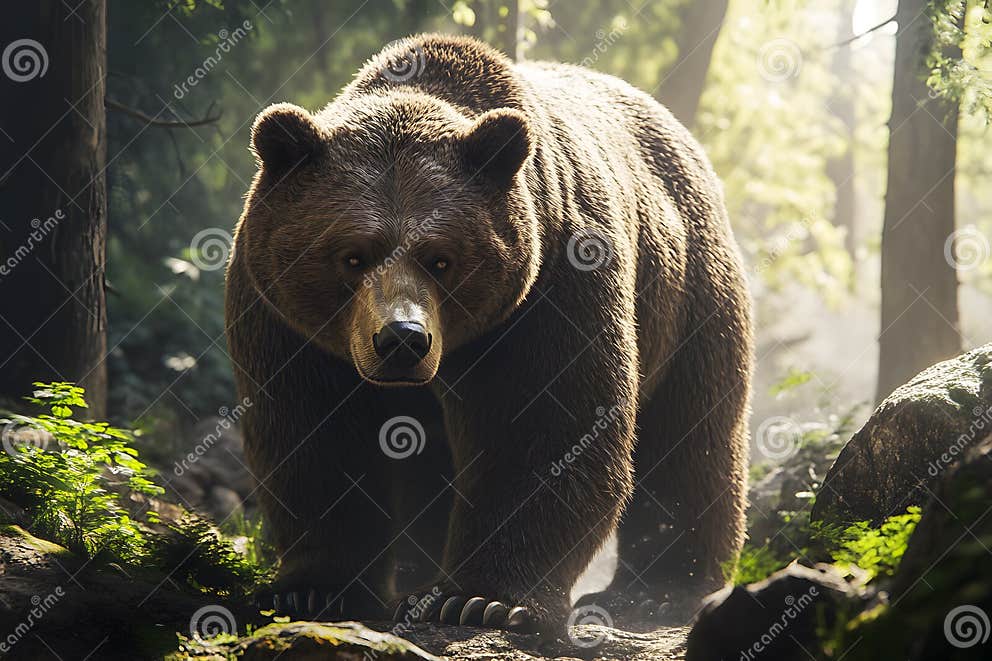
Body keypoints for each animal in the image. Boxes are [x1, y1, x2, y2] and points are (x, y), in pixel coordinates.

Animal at [225, 34, 752, 635]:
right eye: (352, 255)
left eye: (441, 259)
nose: (402, 339)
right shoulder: (285, 319)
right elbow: (313, 436)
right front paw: (317, 590)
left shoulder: (546, 291)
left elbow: (541, 426)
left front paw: (481, 599)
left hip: (688, 293)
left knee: (690, 436)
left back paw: (662, 588)